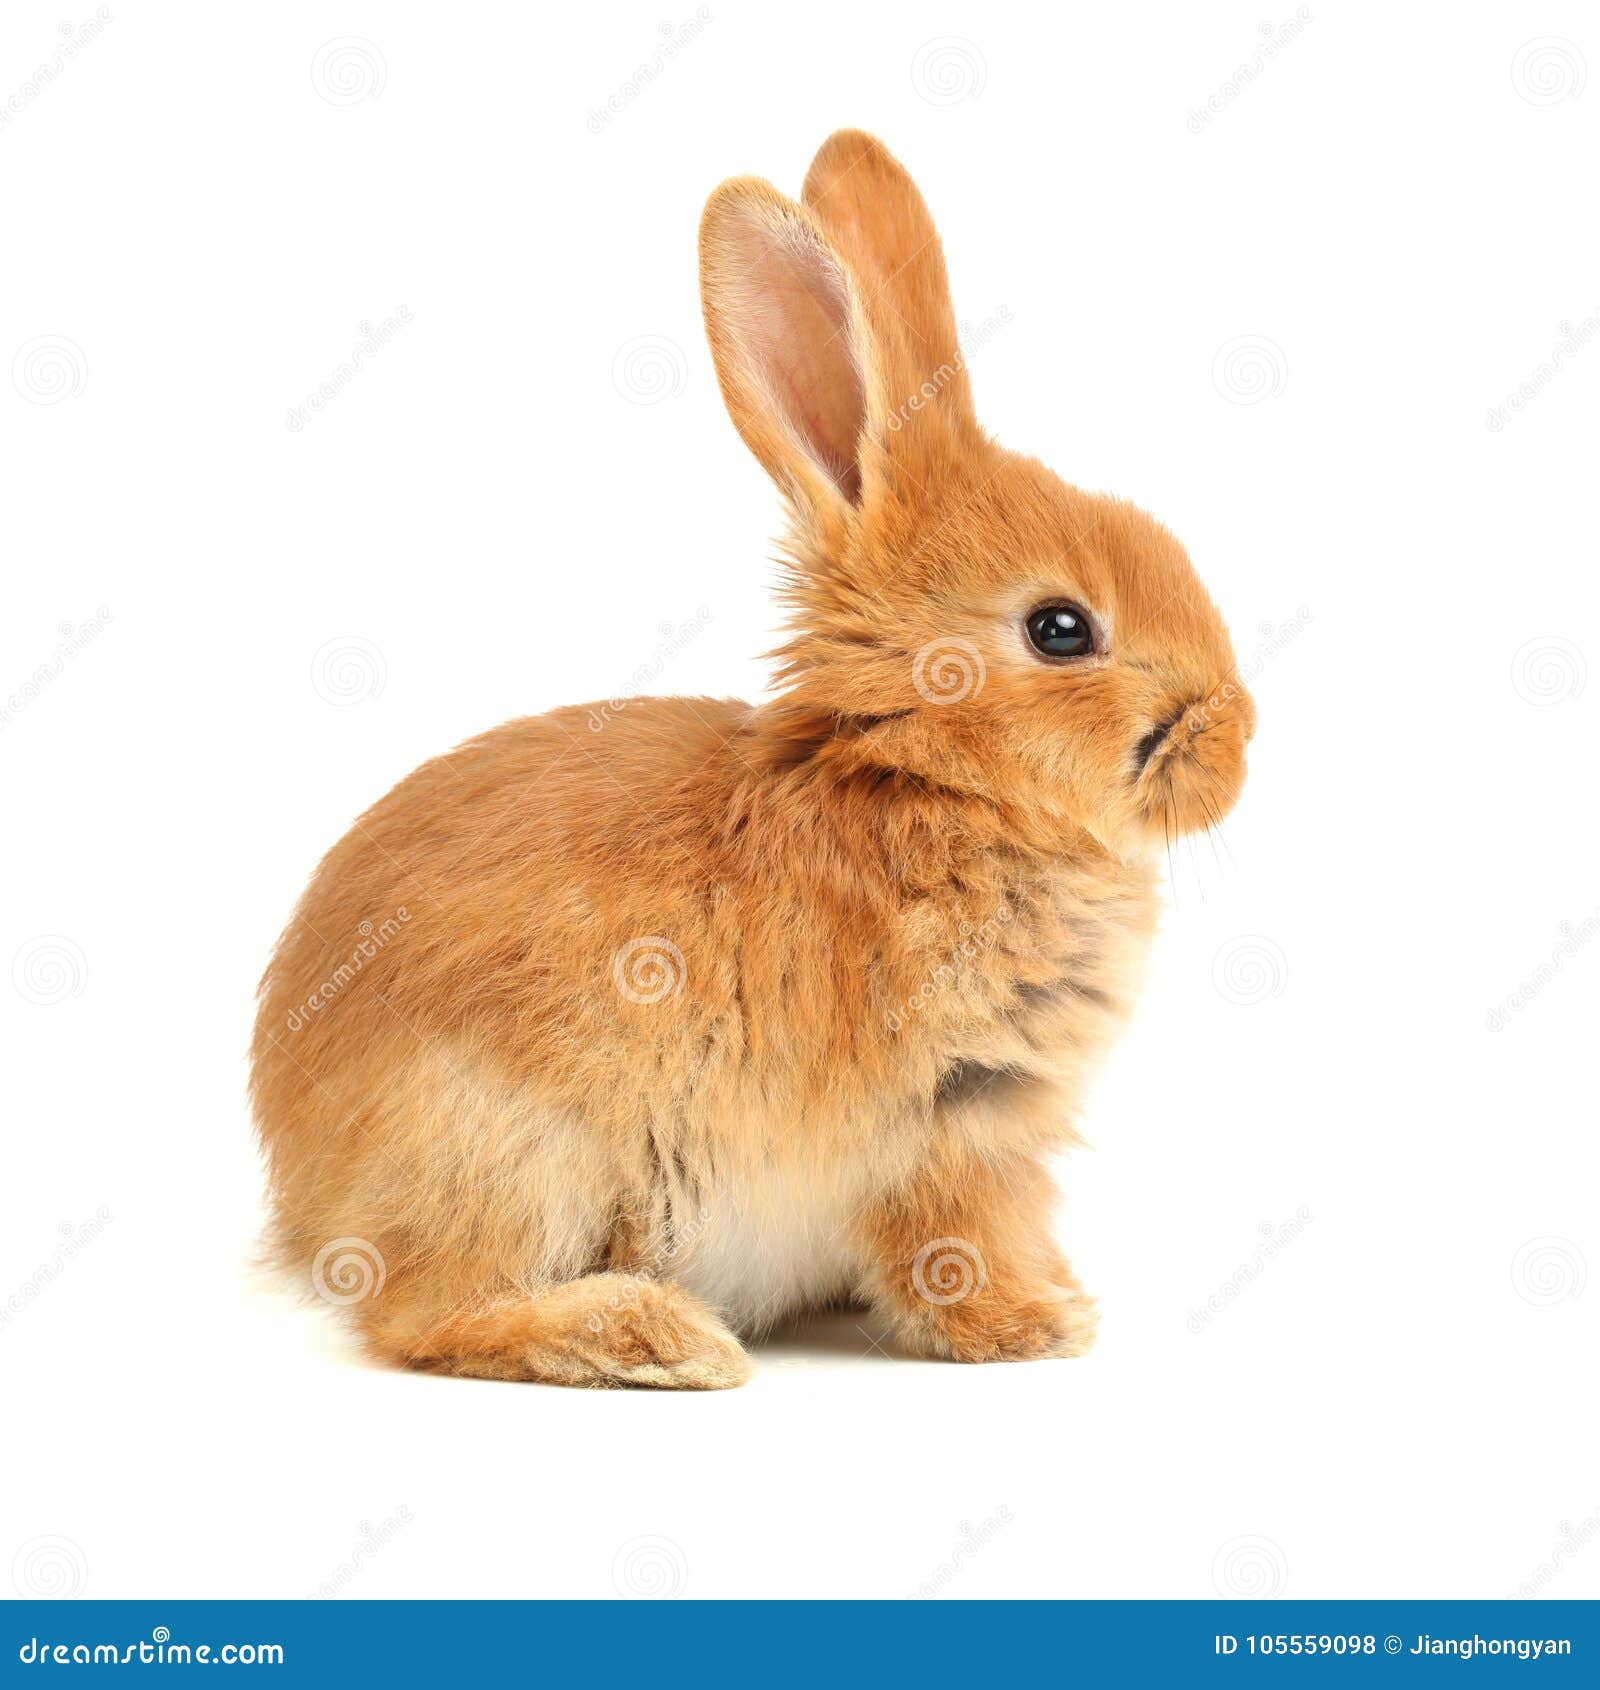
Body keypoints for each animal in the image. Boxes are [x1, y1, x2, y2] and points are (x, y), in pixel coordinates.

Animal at [250, 130, 1254, 1389]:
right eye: (1060, 629)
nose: (1238, 742)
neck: (924, 780)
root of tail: (306, 1200)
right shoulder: (950, 1125)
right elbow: (953, 1242)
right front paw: (1032, 1325)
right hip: (510, 1153)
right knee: (428, 1315)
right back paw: (652, 1336)